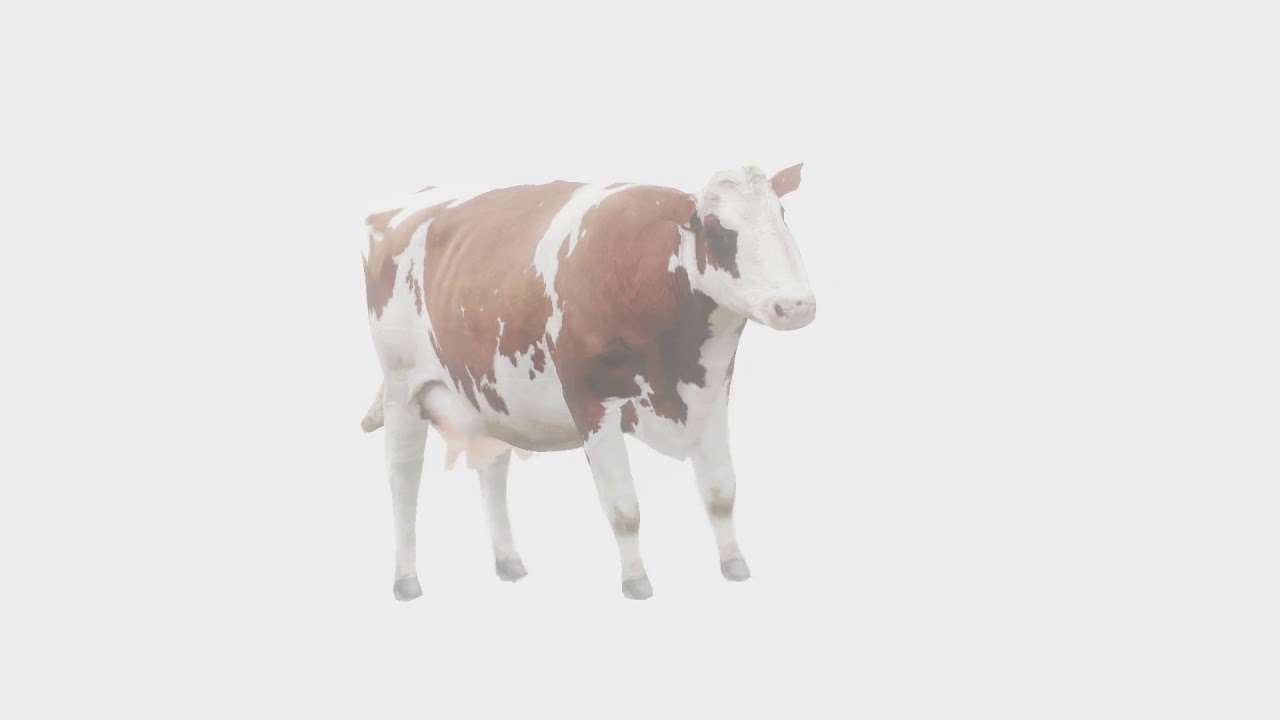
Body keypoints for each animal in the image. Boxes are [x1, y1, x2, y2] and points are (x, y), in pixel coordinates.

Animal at [360, 164, 815, 600]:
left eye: (782, 214)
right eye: (720, 231)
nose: (796, 306)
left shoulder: (712, 392)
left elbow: (721, 491)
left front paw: (734, 565)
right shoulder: (591, 401)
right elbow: (624, 508)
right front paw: (636, 580)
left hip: (487, 395)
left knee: (492, 468)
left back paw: (508, 561)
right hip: (402, 387)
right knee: (403, 481)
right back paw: (406, 579)